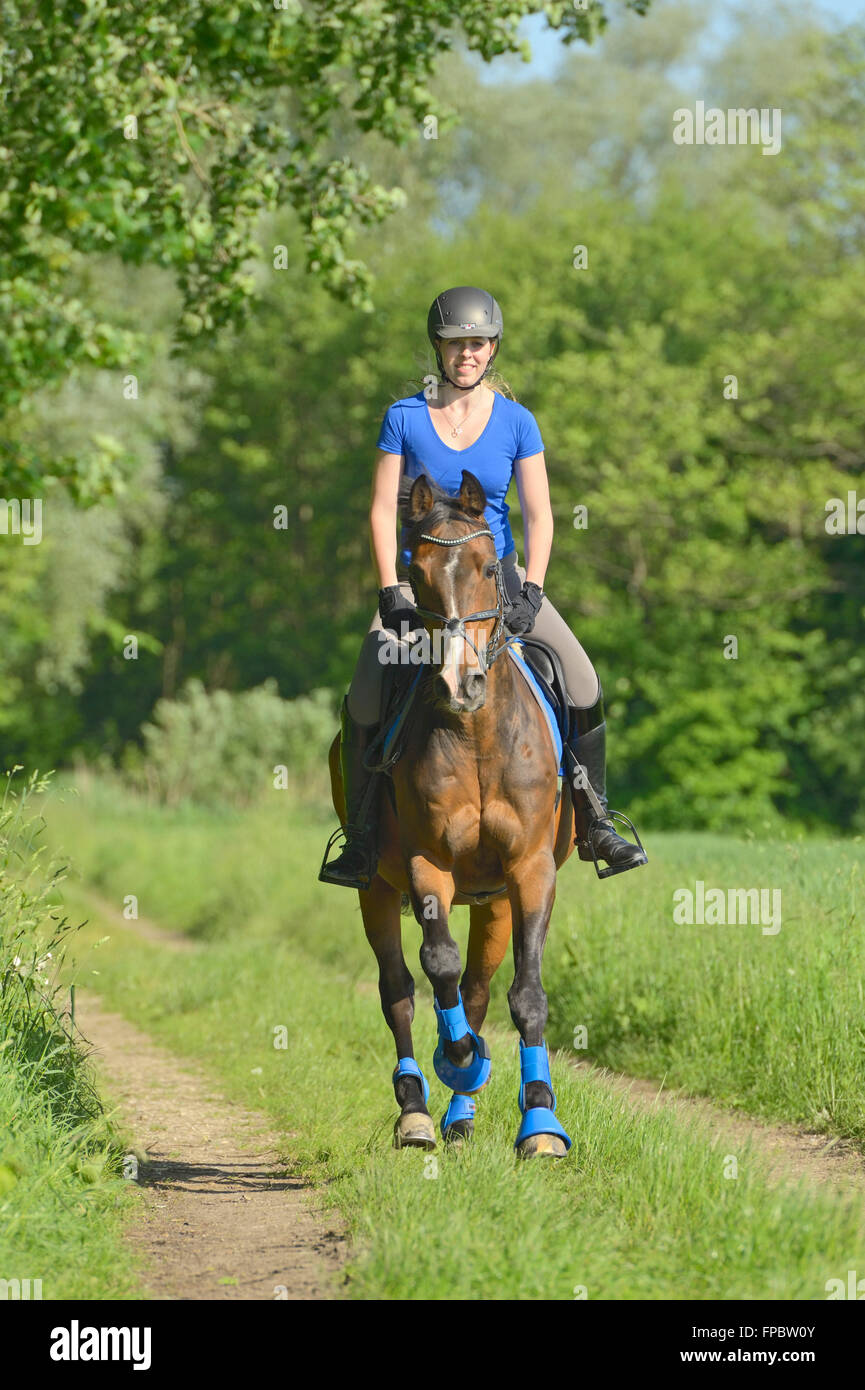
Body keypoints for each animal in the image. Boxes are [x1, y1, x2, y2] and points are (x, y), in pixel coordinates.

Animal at [326, 469, 578, 1158]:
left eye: (491, 568)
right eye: (415, 571)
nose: (457, 684)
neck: (477, 736)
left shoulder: (530, 870)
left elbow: (526, 994)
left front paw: (540, 1122)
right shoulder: (425, 863)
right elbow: (436, 966)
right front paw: (461, 1059)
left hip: (493, 901)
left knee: (481, 989)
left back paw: (461, 1117)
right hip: (375, 889)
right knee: (399, 991)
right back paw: (417, 1111)